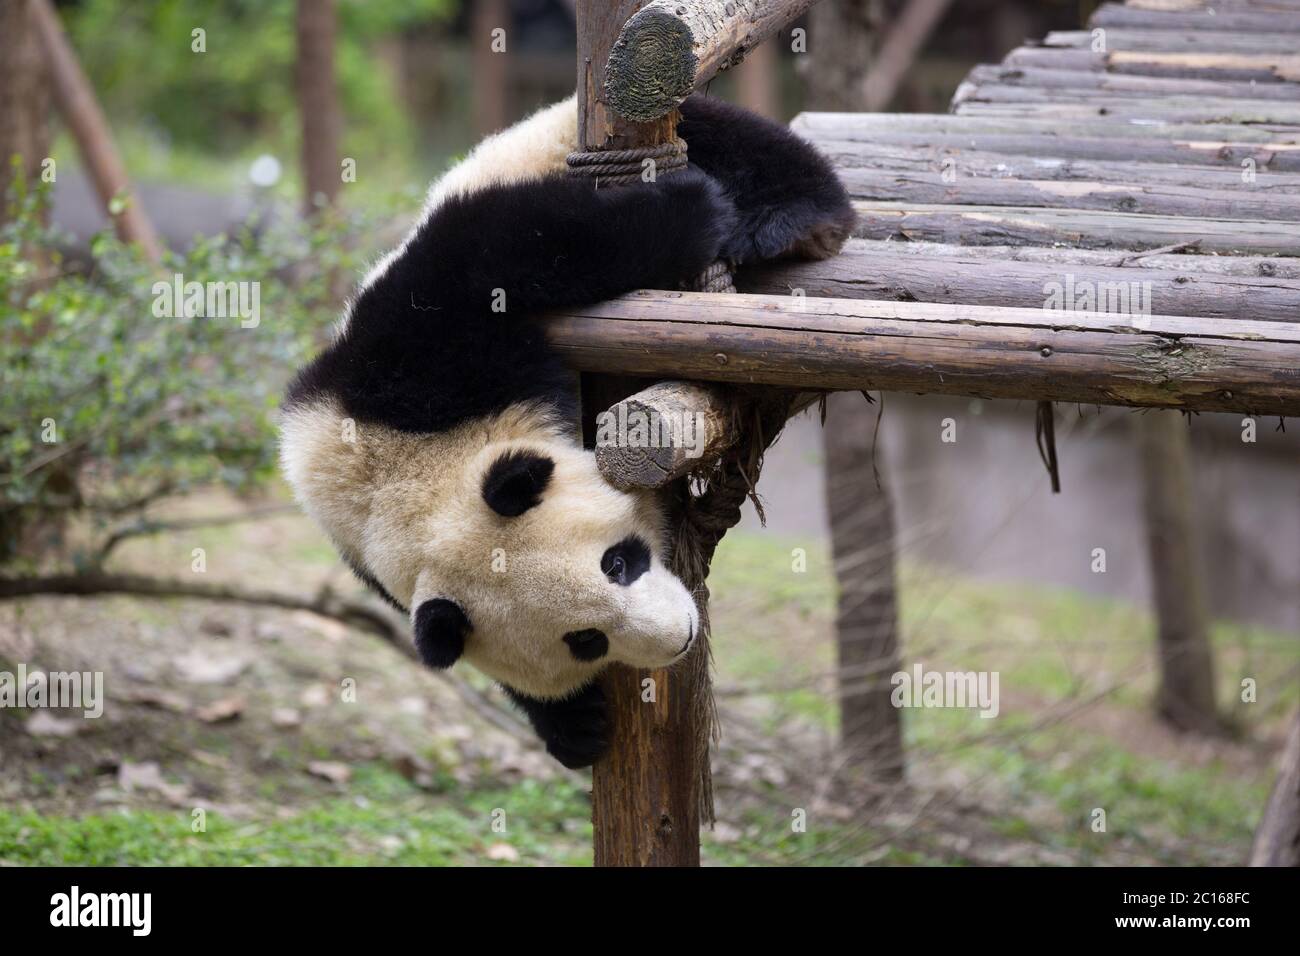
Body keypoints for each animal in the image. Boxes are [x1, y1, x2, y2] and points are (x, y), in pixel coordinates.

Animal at [280, 94, 854, 768]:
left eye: (618, 563)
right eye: (586, 640)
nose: (681, 636)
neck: (400, 477)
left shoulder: (418, 355)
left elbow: (515, 250)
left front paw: (692, 207)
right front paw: (573, 725)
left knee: (743, 142)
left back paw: (784, 220)